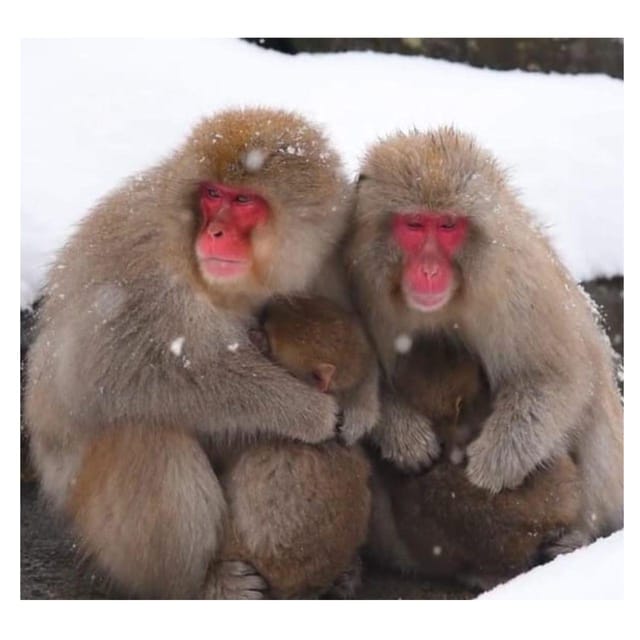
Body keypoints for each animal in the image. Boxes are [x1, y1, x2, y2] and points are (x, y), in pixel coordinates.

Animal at [347, 127, 623, 562]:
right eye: (414, 225)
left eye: (447, 226)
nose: (429, 270)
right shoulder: (355, 277)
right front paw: (403, 433)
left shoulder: (514, 280)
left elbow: (558, 373)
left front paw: (494, 464)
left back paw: (578, 534)